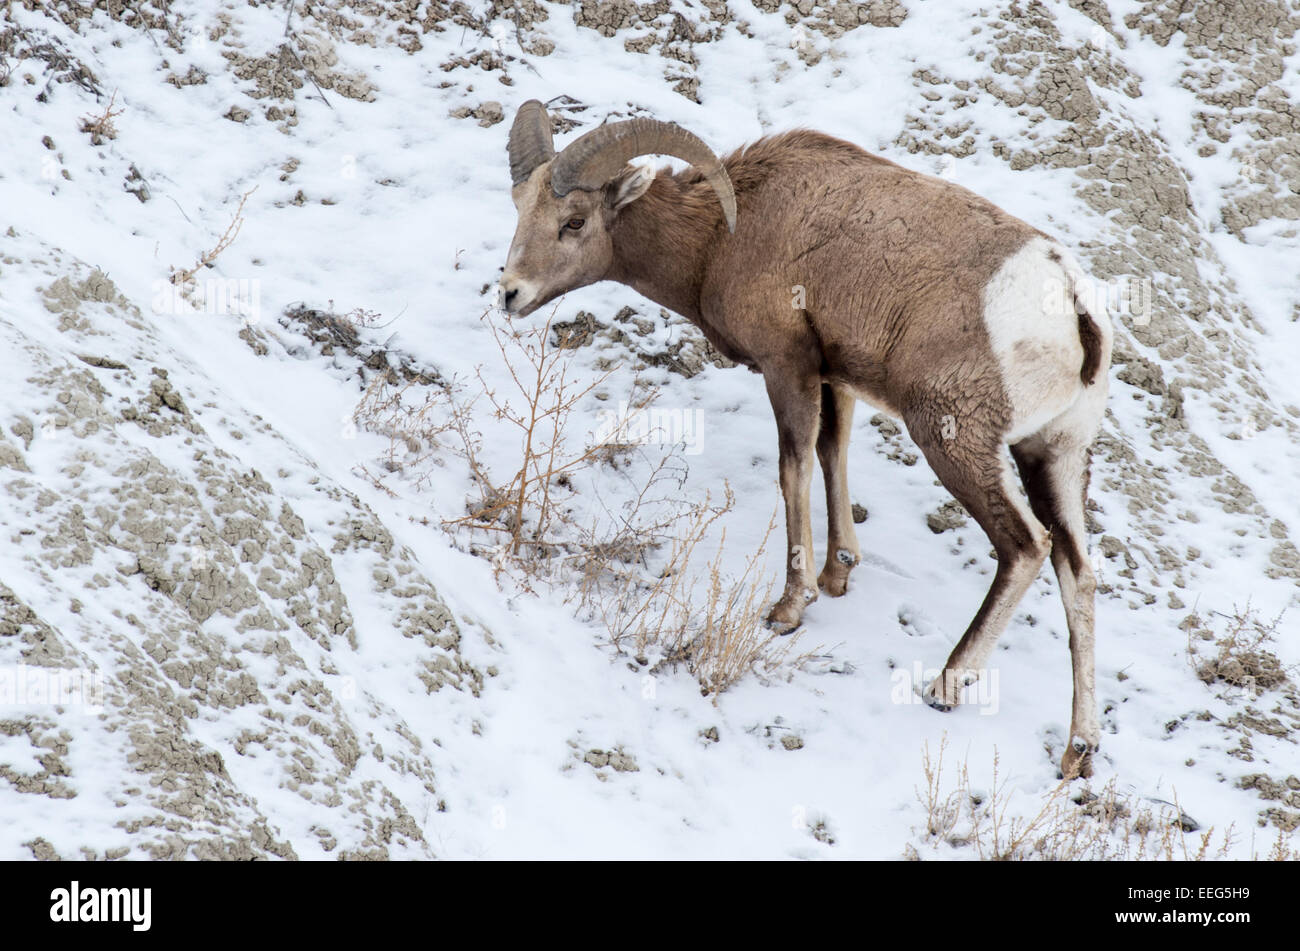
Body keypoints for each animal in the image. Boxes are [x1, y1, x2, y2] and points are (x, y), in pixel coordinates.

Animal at [499, 101, 1113, 779]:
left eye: (574, 222)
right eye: (520, 207)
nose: (510, 294)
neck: (722, 237)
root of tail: (1073, 310)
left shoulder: (787, 365)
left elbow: (794, 470)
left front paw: (790, 609)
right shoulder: (833, 376)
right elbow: (831, 455)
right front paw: (839, 574)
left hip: (954, 440)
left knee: (1025, 547)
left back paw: (946, 686)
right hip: (1053, 455)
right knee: (1077, 570)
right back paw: (1078, 749)